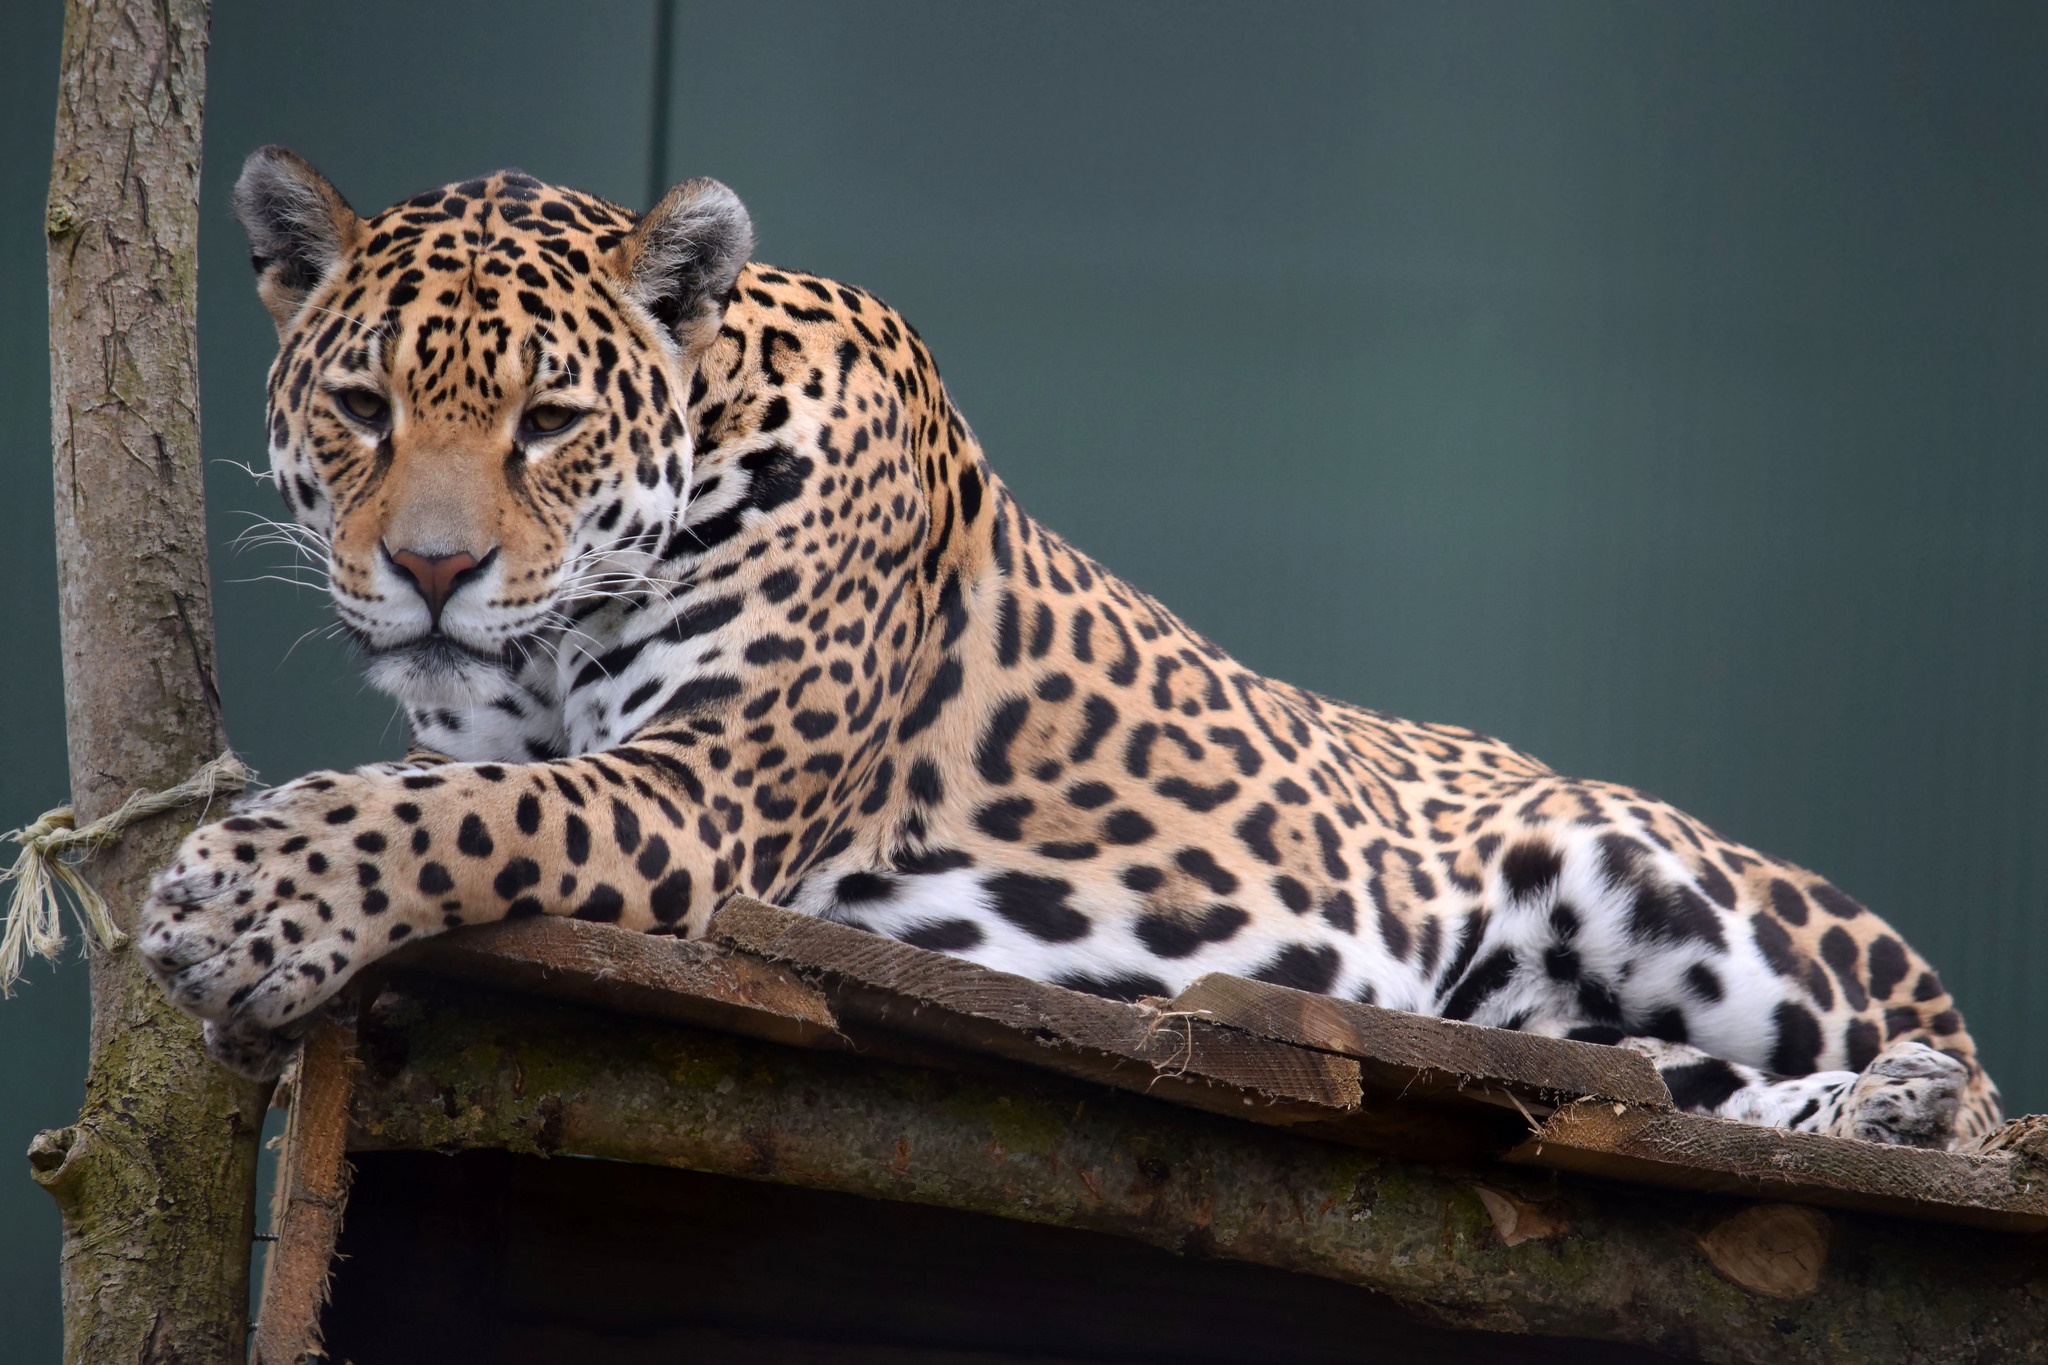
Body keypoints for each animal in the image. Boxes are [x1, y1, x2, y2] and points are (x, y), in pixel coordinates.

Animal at [141, 146, 2002, 1151]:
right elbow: (445, 786)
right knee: (1659, 1085)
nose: (430, 571)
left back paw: (1917, 1103)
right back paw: (1870, 1109)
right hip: (1563, 1015)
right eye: (363, 407)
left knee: (1972, 1096)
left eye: (548, 422)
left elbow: (455, 814)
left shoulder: (693, 793)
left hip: (1644, 868)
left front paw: (239, 903)